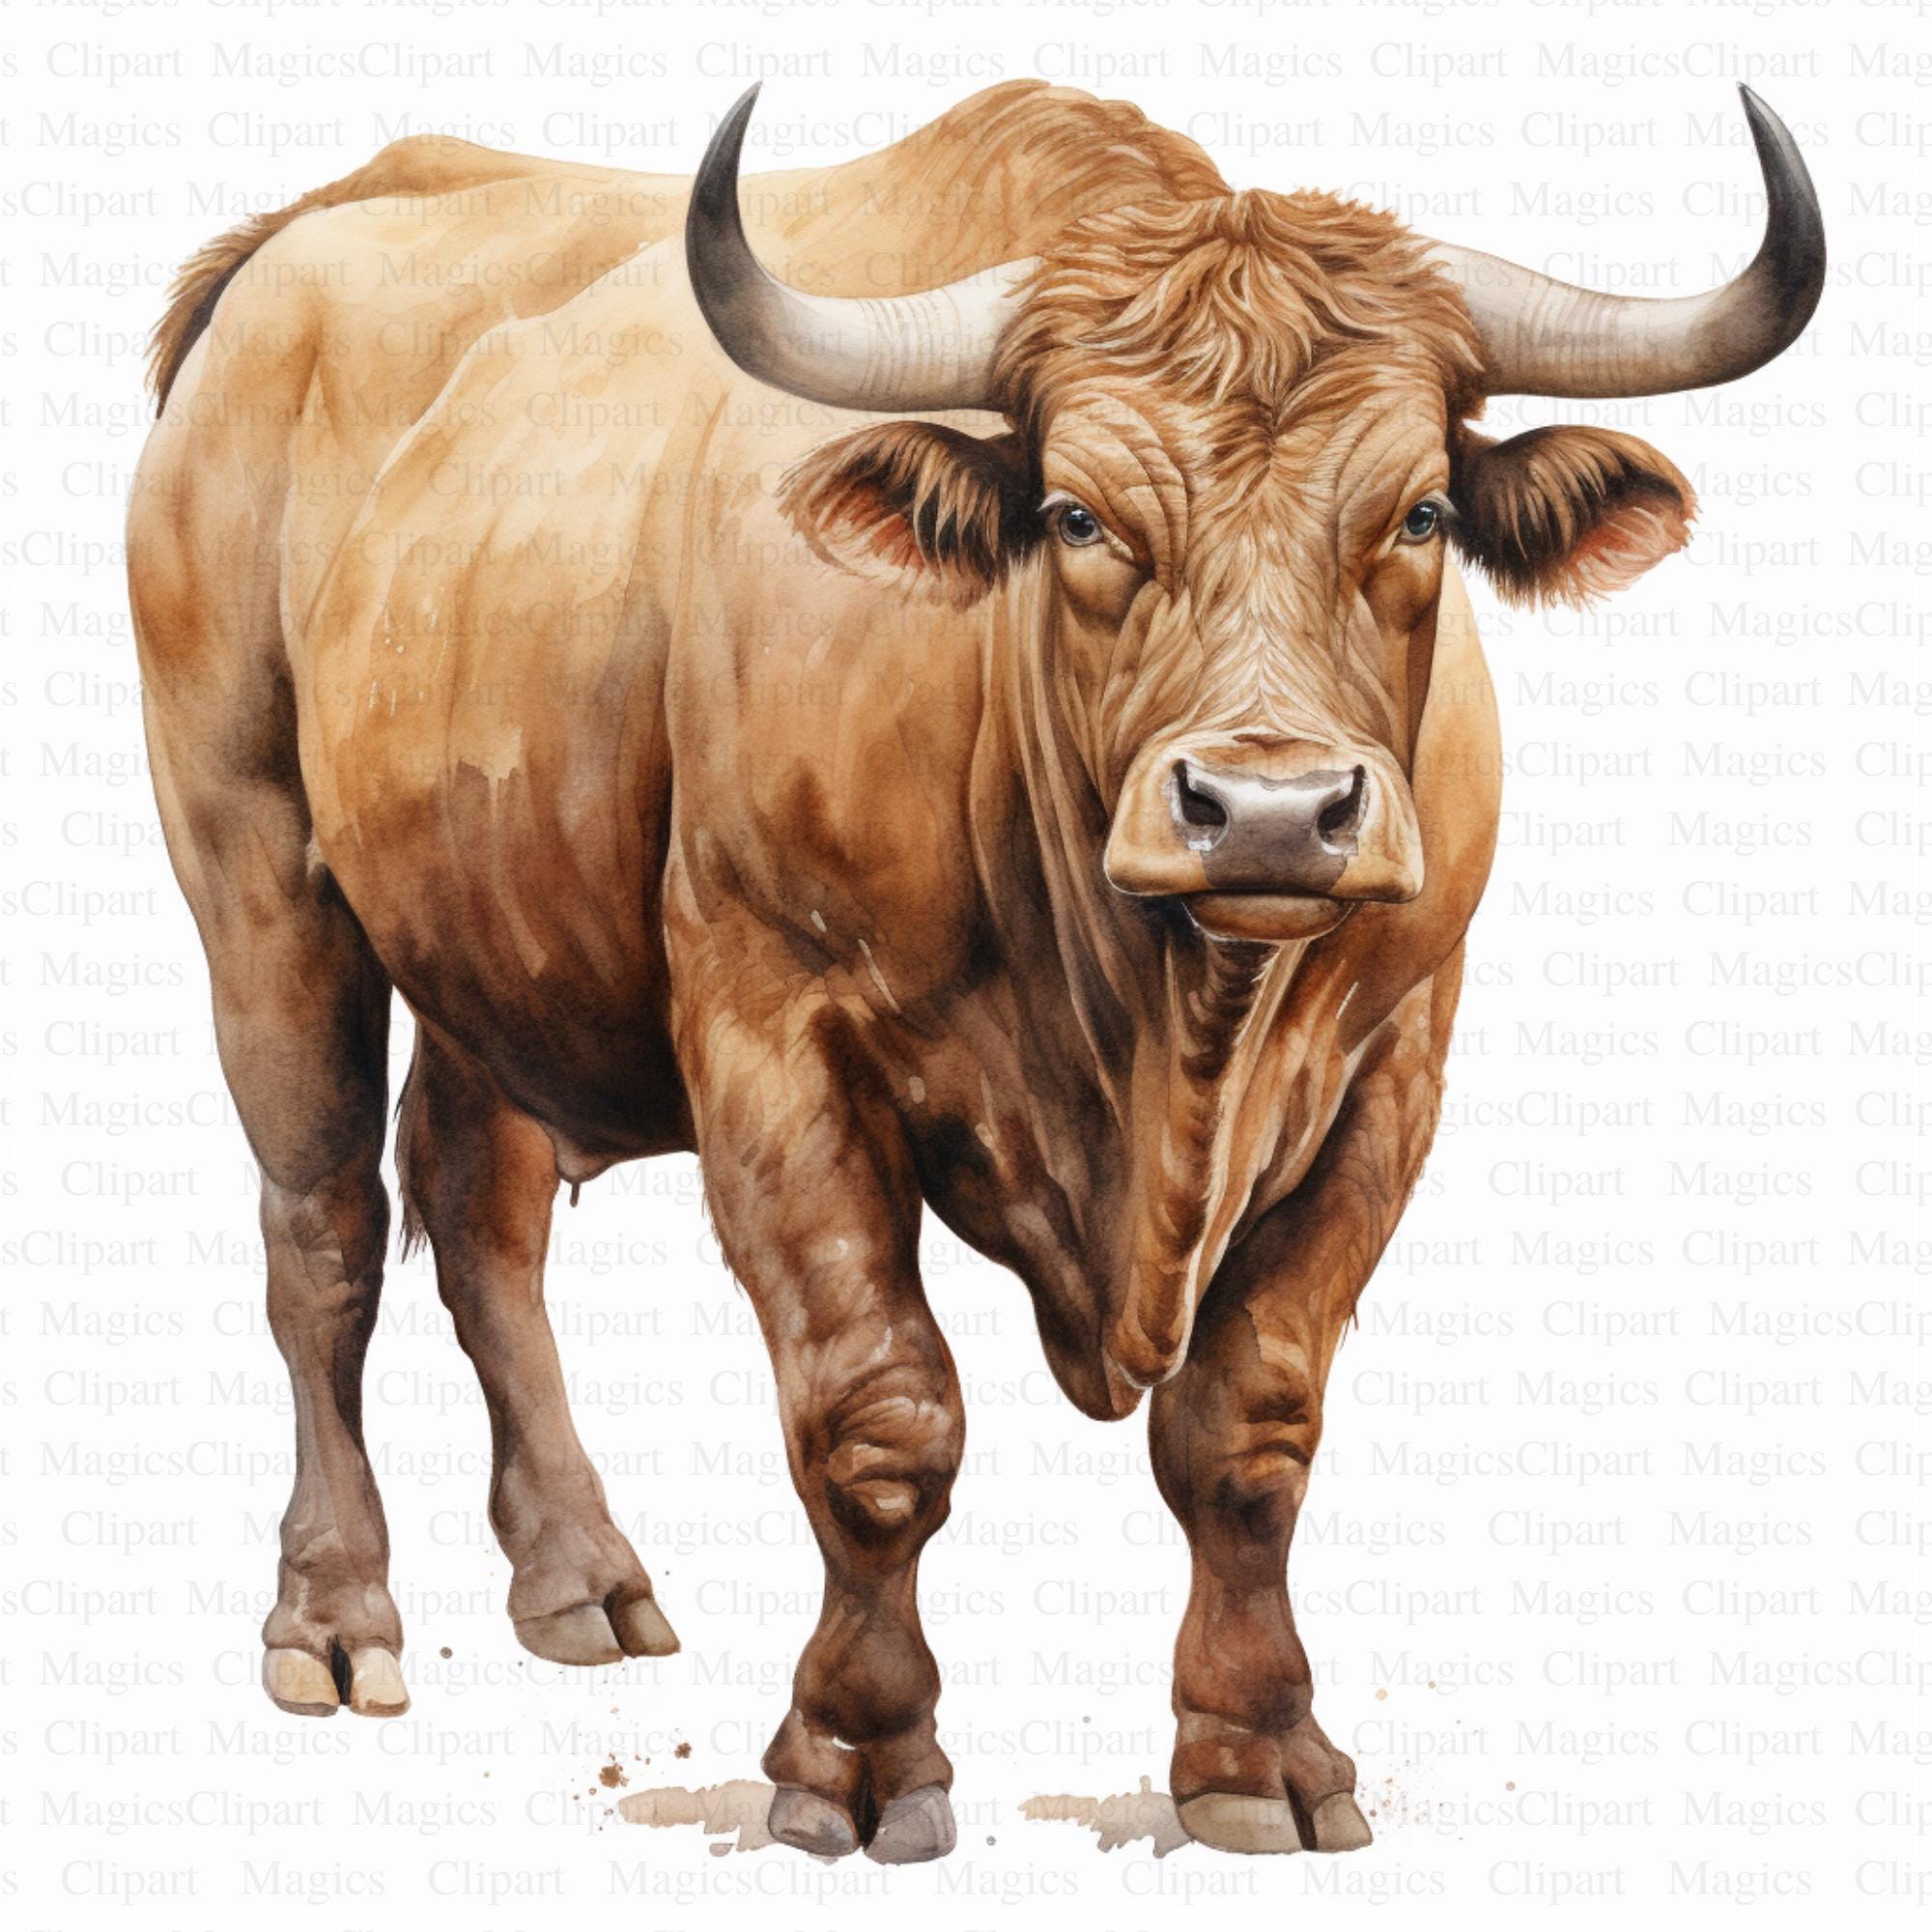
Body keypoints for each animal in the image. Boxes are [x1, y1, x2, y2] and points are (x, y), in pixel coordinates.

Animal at [129, 81, 1822, 1862]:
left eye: (1420, 511)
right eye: (1076, 516)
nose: (1269, 810)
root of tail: (299, 242)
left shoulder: (1392, 1067)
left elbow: (1250, 1425)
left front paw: (1261, 1756)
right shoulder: (775, 1038)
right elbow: (881, 1413)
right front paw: (857, 1760)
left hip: (497, 931)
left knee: (478, 1210)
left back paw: (583, 1582)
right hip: (256, 874)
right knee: (324, 1233)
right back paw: (335, 1620)